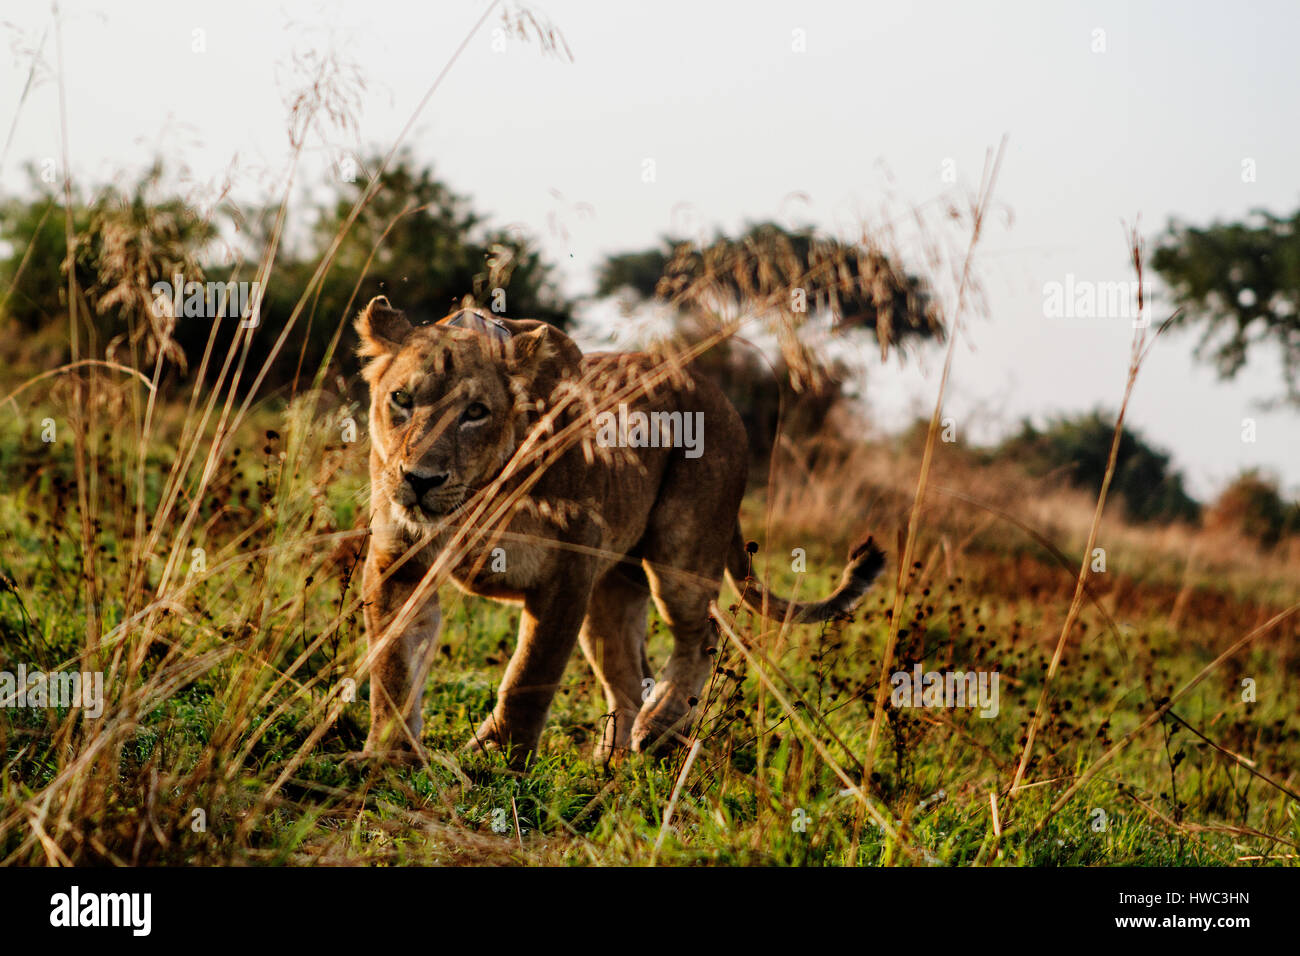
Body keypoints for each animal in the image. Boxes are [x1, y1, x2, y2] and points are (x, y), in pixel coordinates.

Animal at [355, 294, 885, 767]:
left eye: (475, 412)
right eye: (401, 399)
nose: (420, 480)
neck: (474, 497)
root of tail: (714, 391)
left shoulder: (565, 573)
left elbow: (531, 673)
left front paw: (498, 757)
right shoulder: (399, 565)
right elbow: (394, 664)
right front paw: (390, 755)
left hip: (682, 556)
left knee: (703, 633)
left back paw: (659, 726)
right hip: (608, 591)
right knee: (630, 674)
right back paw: (616, 758)